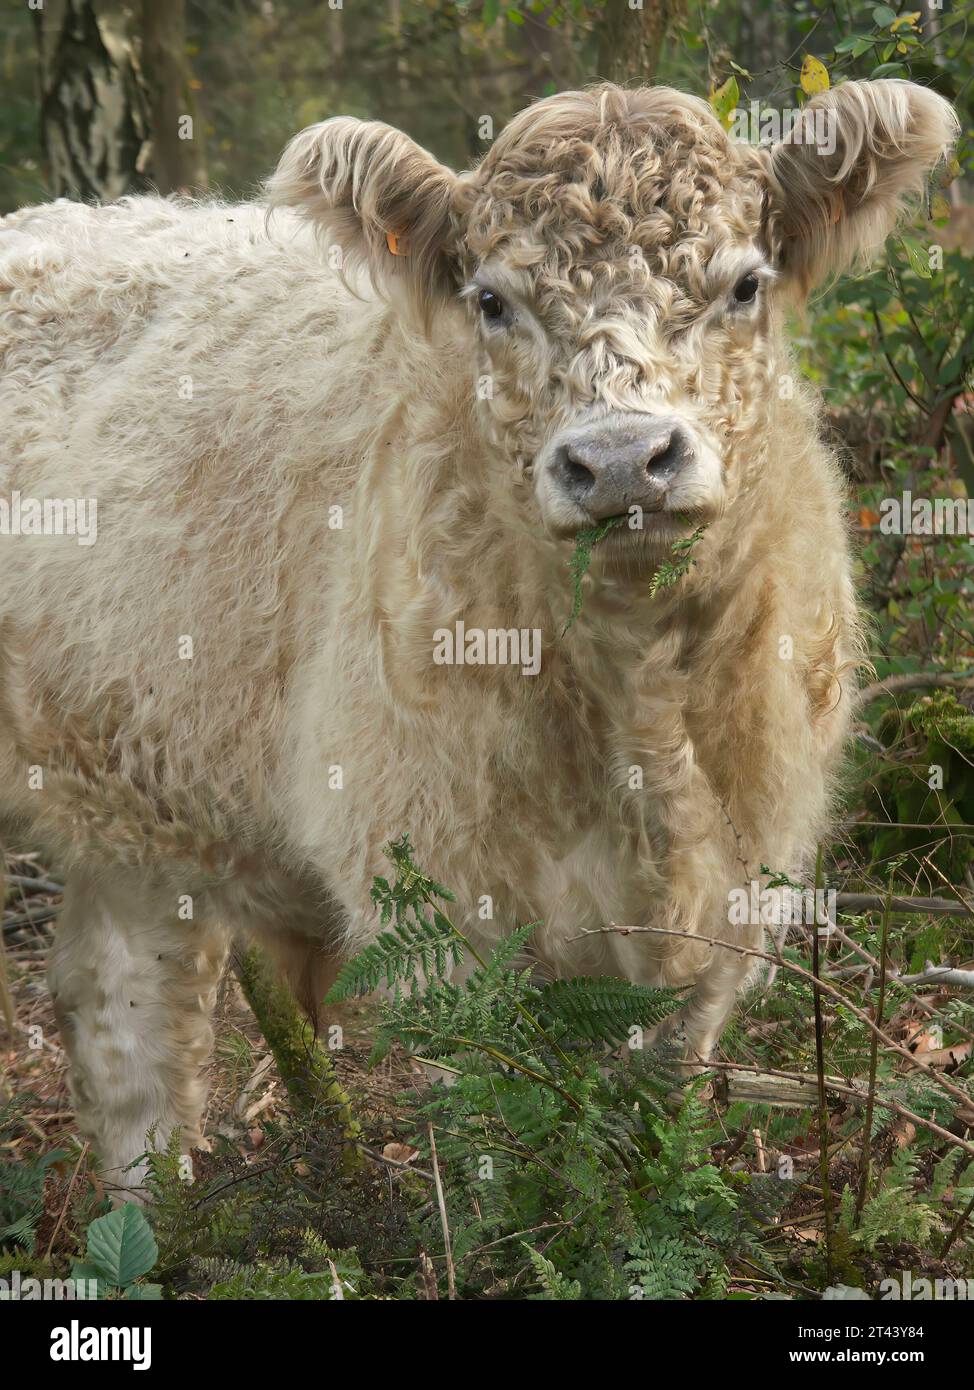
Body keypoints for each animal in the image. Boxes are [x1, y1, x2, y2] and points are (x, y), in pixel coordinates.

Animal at [0, 79, 956, 1197]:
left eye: (744, 285)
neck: (639, 710)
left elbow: (644, 1122)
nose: (621, 459)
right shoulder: (444, 897)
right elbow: (505, 1129)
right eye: (492, 301)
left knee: (124, 1018)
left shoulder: (733, 891)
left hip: (134, 809)